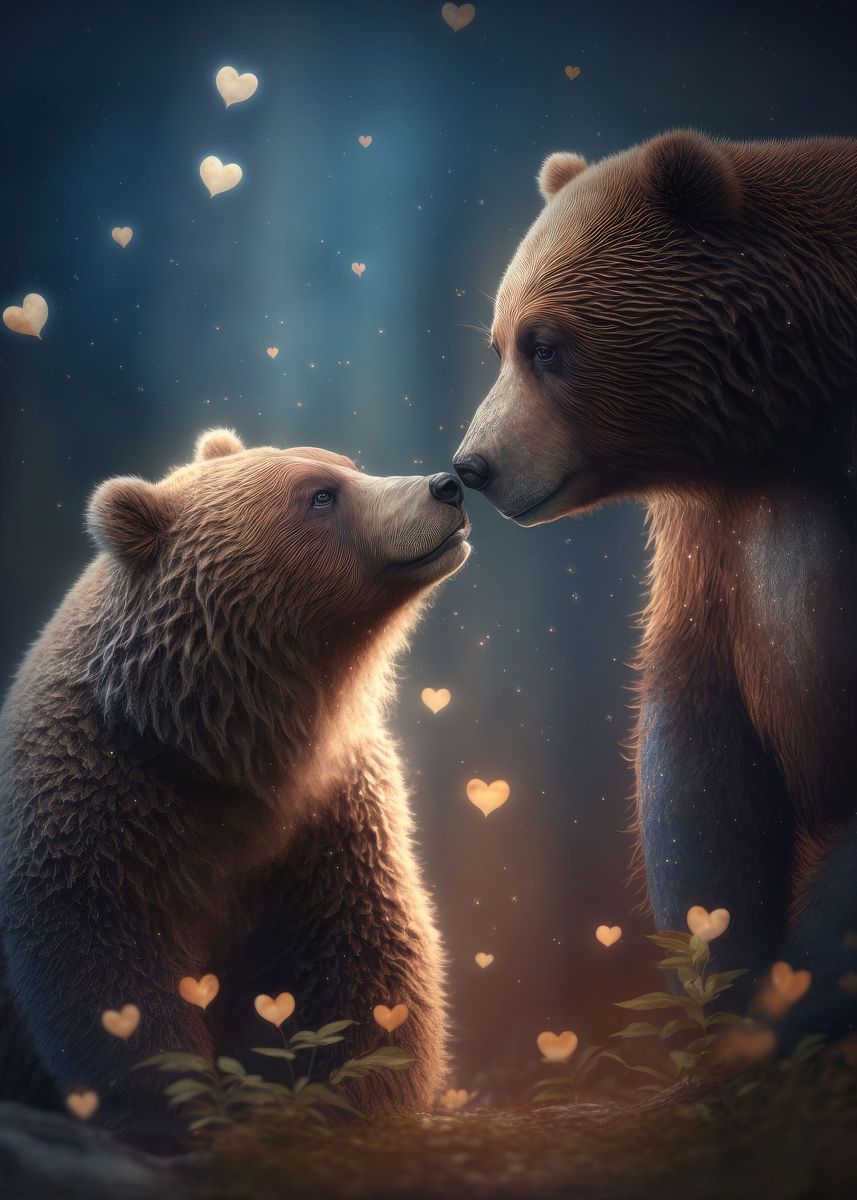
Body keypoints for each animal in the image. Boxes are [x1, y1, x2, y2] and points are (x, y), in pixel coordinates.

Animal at [0, 429, 470, 1145]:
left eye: (347, 465)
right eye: (320, 495)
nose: (446, 486)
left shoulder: (326, 818)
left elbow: (358, 959)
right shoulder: (96, 806)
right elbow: (108, 970)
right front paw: (178, 1112)